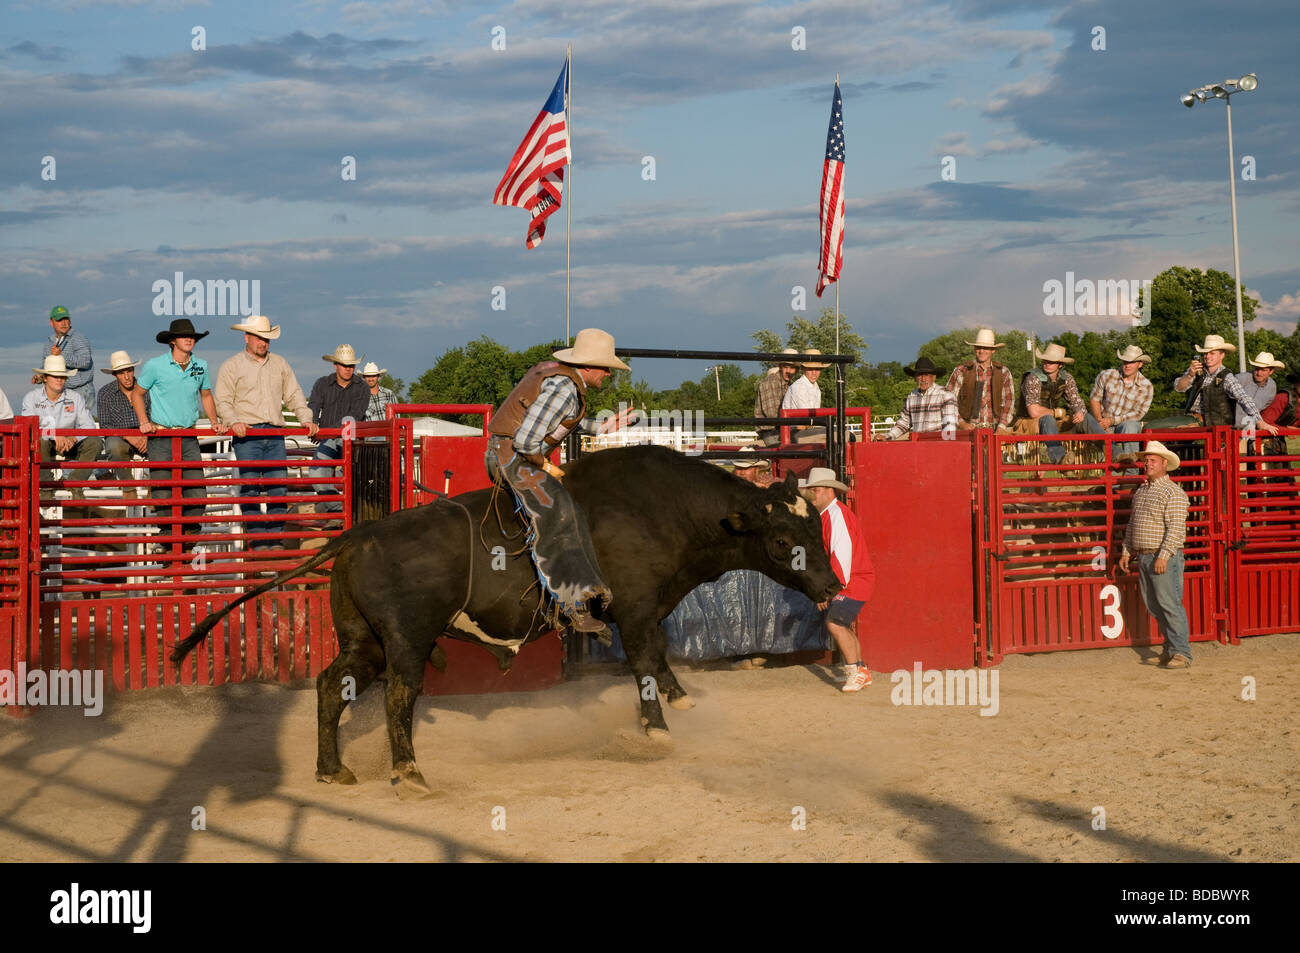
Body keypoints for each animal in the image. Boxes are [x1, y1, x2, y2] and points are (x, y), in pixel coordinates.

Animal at [172, 445, 842, 798]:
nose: (834, 586)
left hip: (364, 640)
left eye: (816, 527)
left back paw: (332, 767)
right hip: (407, 640)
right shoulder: (633, 609)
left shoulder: (648, 611)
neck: (663, 510)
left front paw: (681, 701)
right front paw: (655, 730)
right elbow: (646, 662)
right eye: (782, 540)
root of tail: (359, 535)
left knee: (331, 685)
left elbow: (659, 659)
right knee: (398, 696)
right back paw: (408, 771)